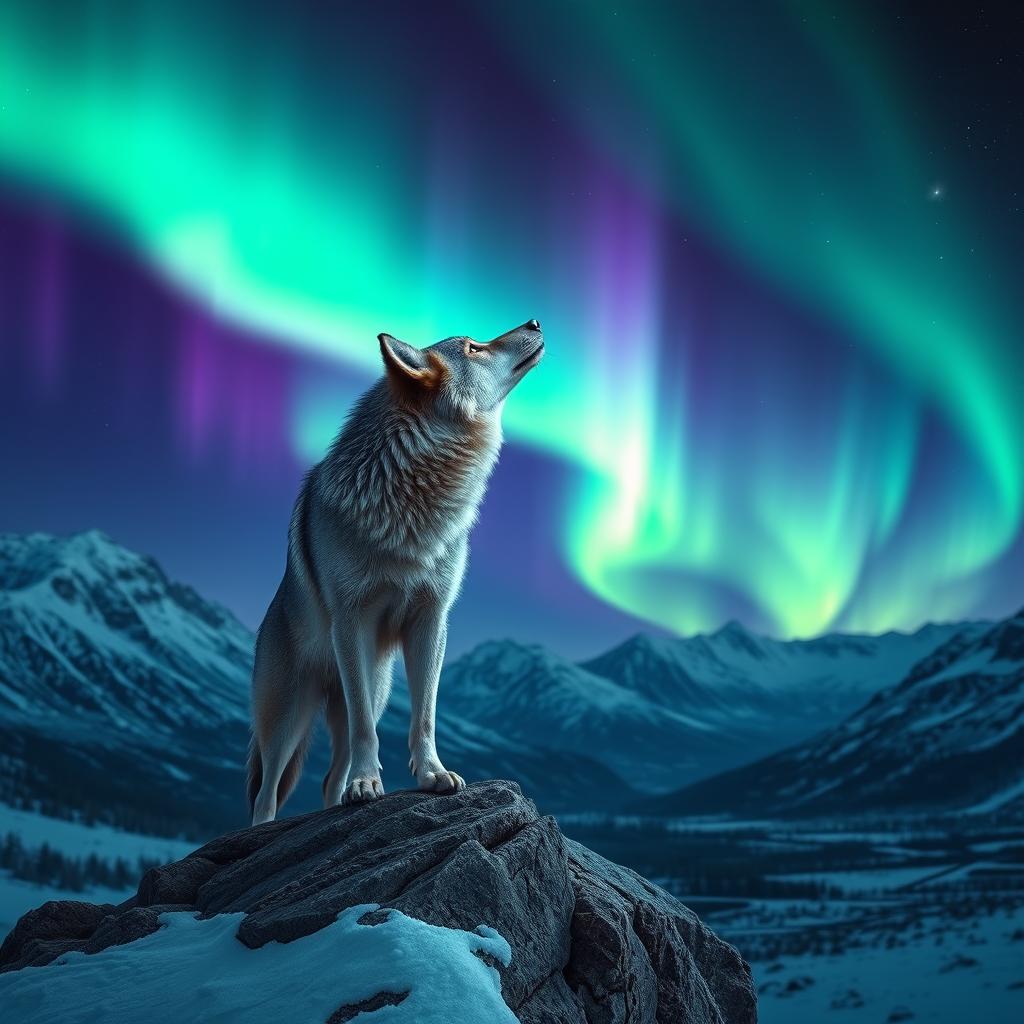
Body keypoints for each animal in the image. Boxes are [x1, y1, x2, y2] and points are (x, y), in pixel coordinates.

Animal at [247, 320, 545, 824]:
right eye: (475, 347)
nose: (535, 323)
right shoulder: (352, 622)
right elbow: (368, 729)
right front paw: (370, 782)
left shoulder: (431, 619)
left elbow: (424, 716)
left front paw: (432, 775)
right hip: (289, 718)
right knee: (267, 790)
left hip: (368, 691)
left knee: (329, 778)